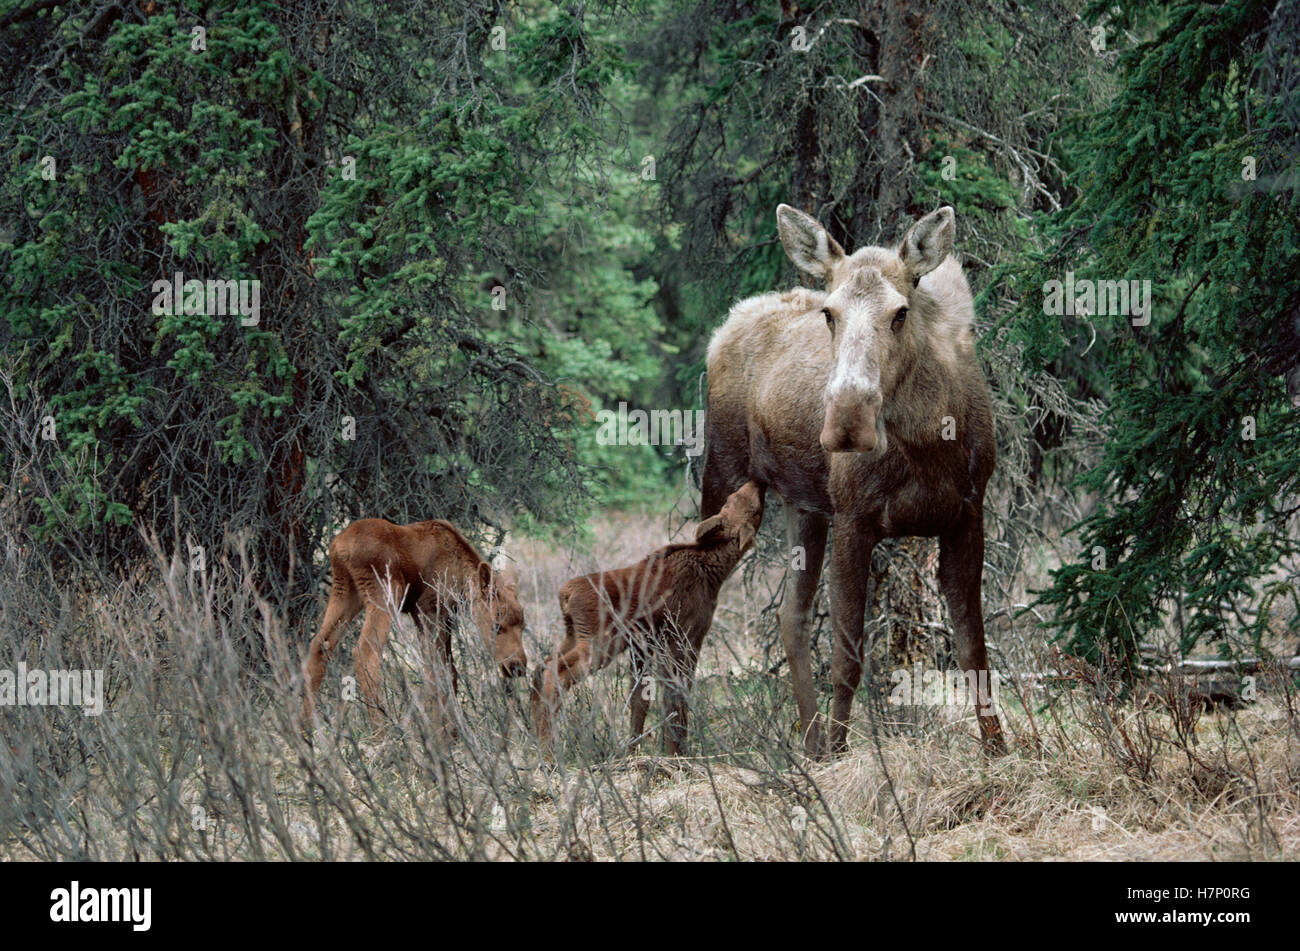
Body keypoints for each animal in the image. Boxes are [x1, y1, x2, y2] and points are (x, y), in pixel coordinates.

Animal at [300, 518, 527, 738]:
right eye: (497, 625)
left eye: (523, 626)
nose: (517, 666)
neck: (461, 580)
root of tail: (339, 548)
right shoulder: (428, 610)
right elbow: (438, 673)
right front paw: (442, 733)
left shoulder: (438, 618)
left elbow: (449, 672)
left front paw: (453, 732)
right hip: (386, 590)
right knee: (366, 653)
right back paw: (383, 733)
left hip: (345, 590)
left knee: (320, 645)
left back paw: (306, 728)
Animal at [531, 481, 764, 756]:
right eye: (754, 509)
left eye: (731, 498)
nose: (757, 482)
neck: (714, 572)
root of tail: (564, 594)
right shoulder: (686, 637)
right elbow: (676, 698)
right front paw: (676, 753)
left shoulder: (643, 646)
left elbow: (640, 701)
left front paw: (635, 750)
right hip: (600, 643)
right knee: (553, 674)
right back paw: (547, 749)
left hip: (573, 636)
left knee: (539, 668)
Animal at [701, 203, 1006, 758]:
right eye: (829, 313)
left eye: (900, 312)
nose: (847, 419)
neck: (928, 443)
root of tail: (726, 325)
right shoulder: (854, 518)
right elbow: (848, 658)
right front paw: (842, 755)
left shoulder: (968, 515)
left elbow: (975, 653)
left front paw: (1000, 750)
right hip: (723, 473)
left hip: (803, 506)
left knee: (791, 617)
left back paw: (810, 739)